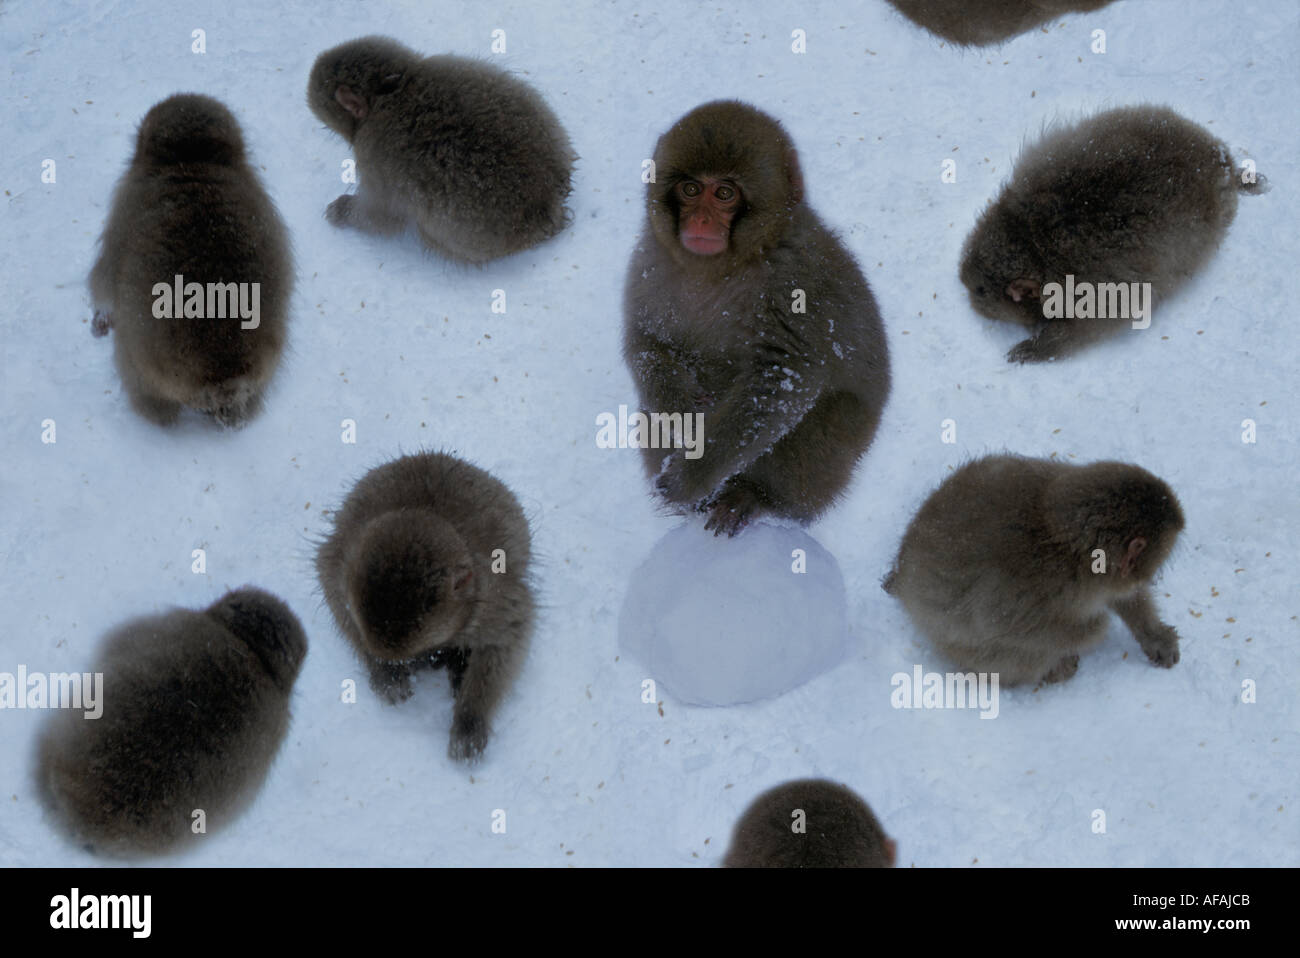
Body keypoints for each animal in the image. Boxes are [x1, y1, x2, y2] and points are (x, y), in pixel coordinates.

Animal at [315, 452, 535, 761]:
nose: (426, 660)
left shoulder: (494, 600)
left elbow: (507, 638)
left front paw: (469, 722)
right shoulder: (339, 567)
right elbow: (339, 605)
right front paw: (386, 673)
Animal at [622, 100, 890, 537]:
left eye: (725, 193)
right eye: (691, 189)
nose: (700, 221)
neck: (720, 267)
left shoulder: (795, 278)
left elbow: (778, 380)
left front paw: (694, 472)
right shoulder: (649, 259)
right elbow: (645, 341)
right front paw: (678, 406)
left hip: (848, 444)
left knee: (822, 425)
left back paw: (755, 498)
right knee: (650, 413)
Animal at [883, 455, 1184, 686]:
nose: (1152, 576)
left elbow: (1124, 596)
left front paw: (1155, 636)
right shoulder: (1035, 590)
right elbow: (1004, 624)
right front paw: (1095, 627)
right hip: (955, 644)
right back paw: (1054, 669)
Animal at [960, 105, 1264, 363]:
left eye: (980, 291)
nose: (962, 282)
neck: (1034, 242)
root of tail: (1222, 163)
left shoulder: (1091, 293)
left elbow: (1085, 328)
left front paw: (1037, 347)